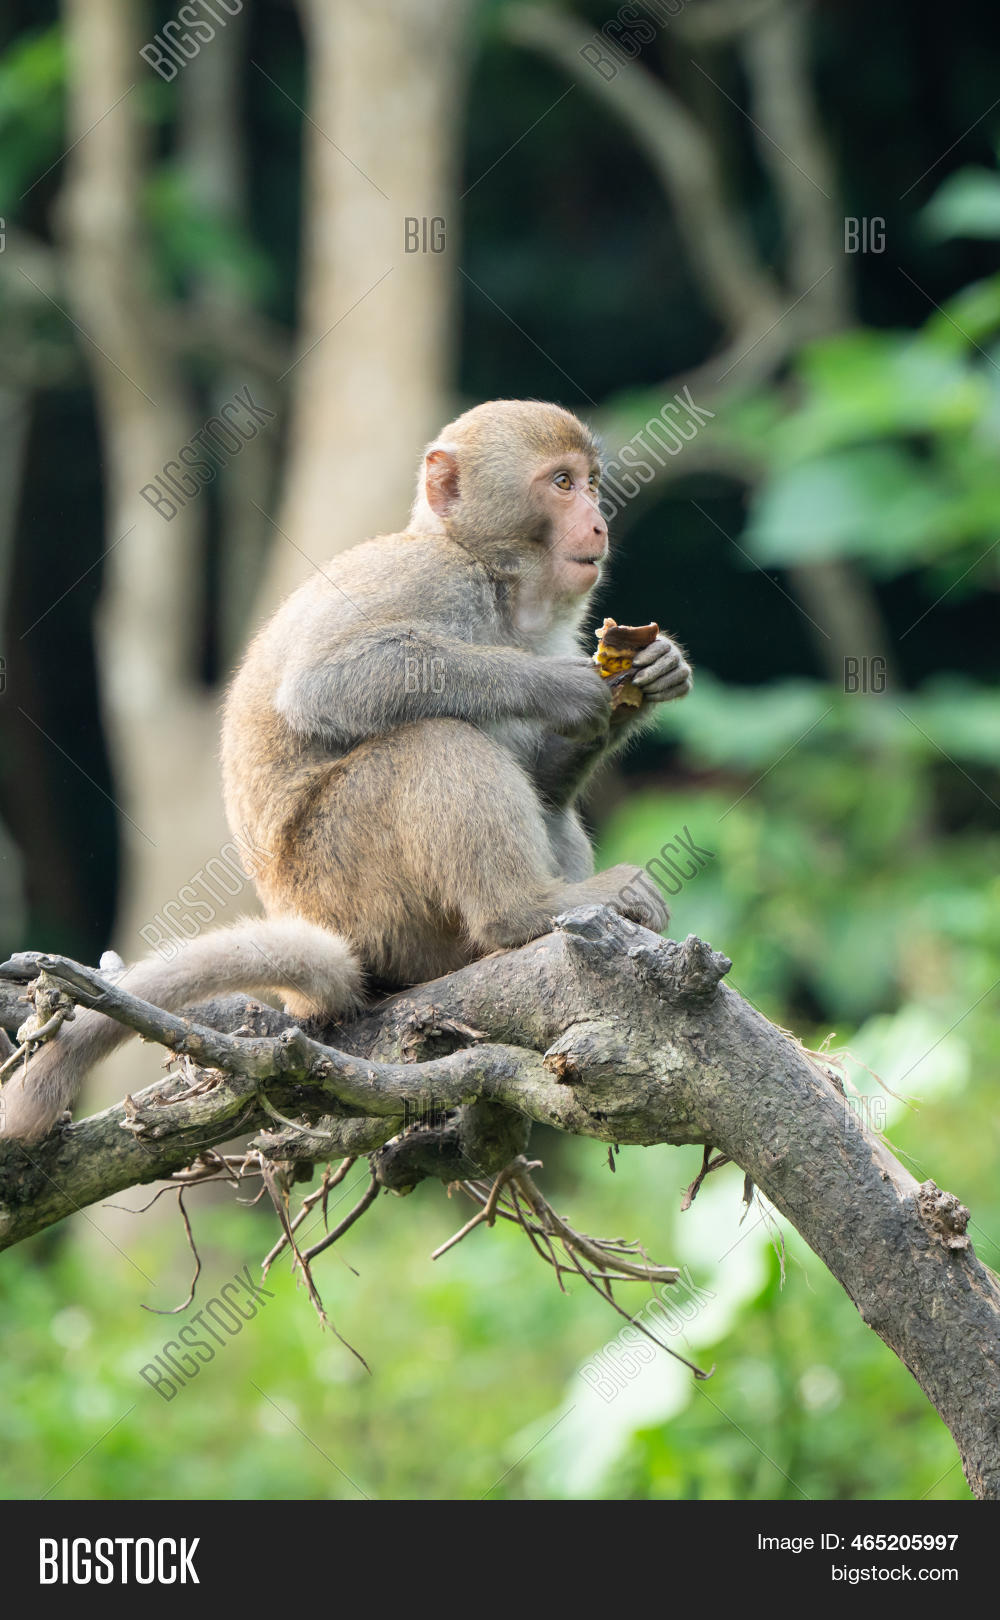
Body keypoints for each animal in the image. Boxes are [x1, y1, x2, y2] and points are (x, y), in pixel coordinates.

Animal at [0, 399, 692, 1143]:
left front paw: (650, 677)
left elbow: (543, 779)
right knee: (434, 738)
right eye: (561, 484)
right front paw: (561, 687)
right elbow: (325, 681)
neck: (493, 578)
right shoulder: (426, 577)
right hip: (352, 886)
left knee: (538, 798)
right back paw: (522, 913)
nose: (598, 522)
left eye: (590, 482)